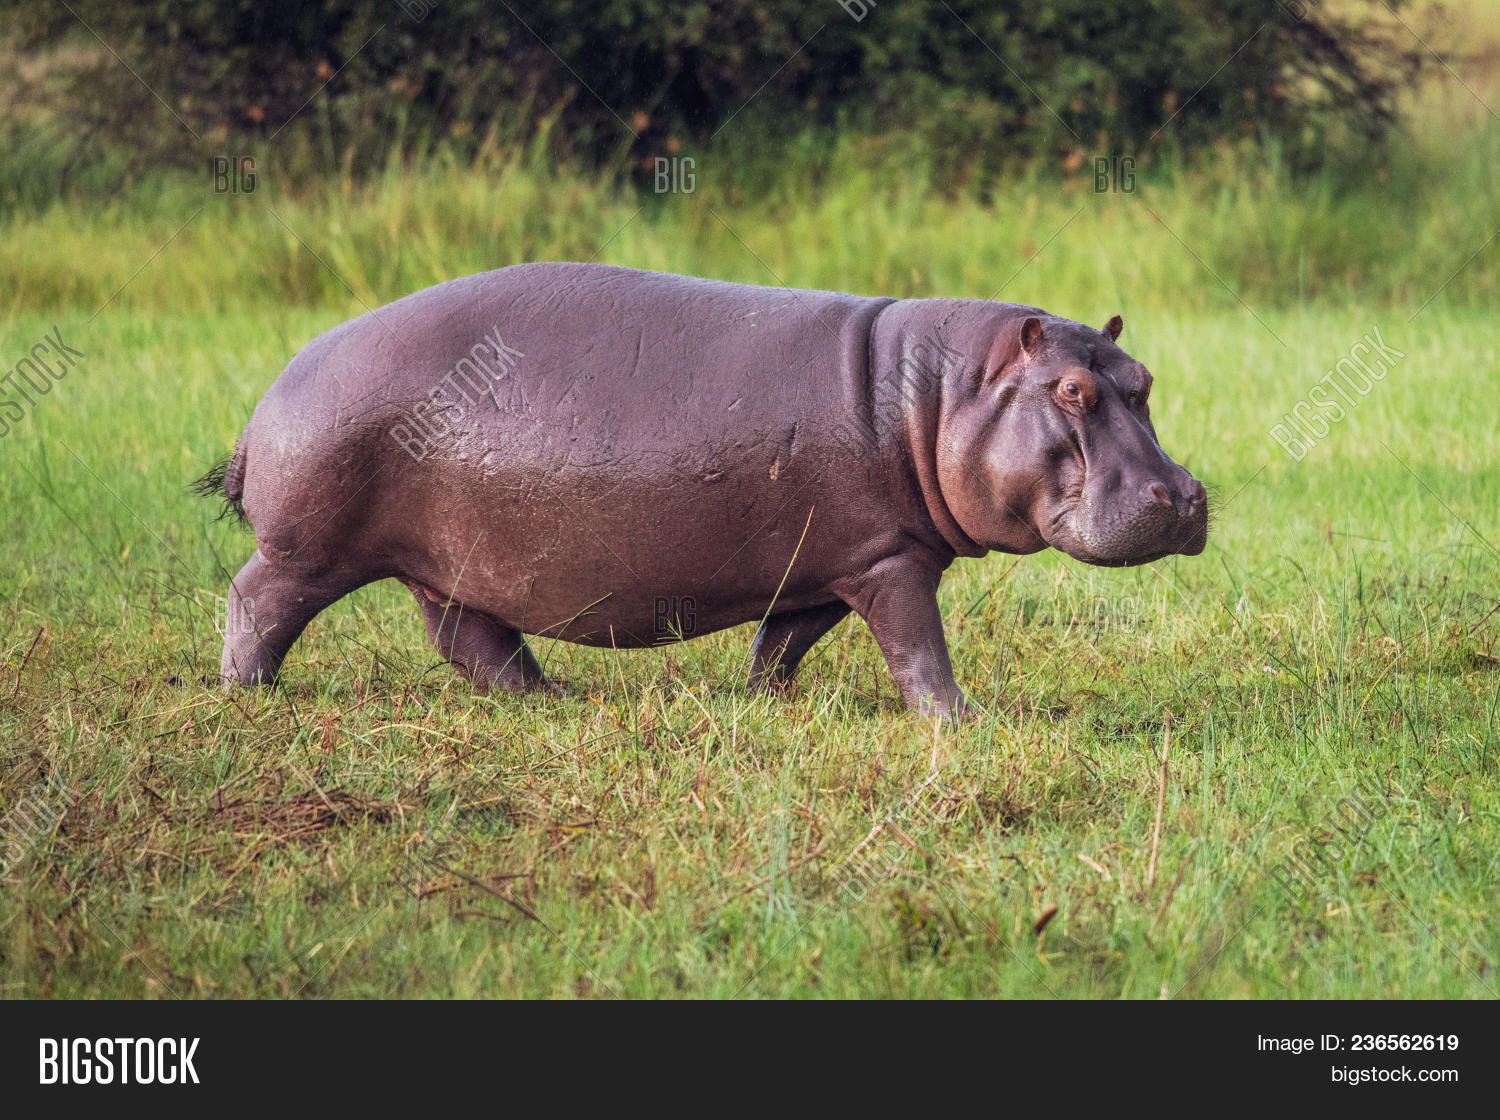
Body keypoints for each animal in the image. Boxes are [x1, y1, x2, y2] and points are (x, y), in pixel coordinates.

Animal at [197, 263, 1207, 717]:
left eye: (1145, 380)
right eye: (1072, 393)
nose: (1186, 496)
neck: (939, 395)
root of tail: (272, 395)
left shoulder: (839, 558)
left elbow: (784, 640)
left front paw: (765, 702)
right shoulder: (890, 563)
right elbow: (917, 645)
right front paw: (960, 720)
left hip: (439, 564)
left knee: (471, 639)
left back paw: (554, 697)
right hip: (314, 549)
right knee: (257, 599)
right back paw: (250, 694)